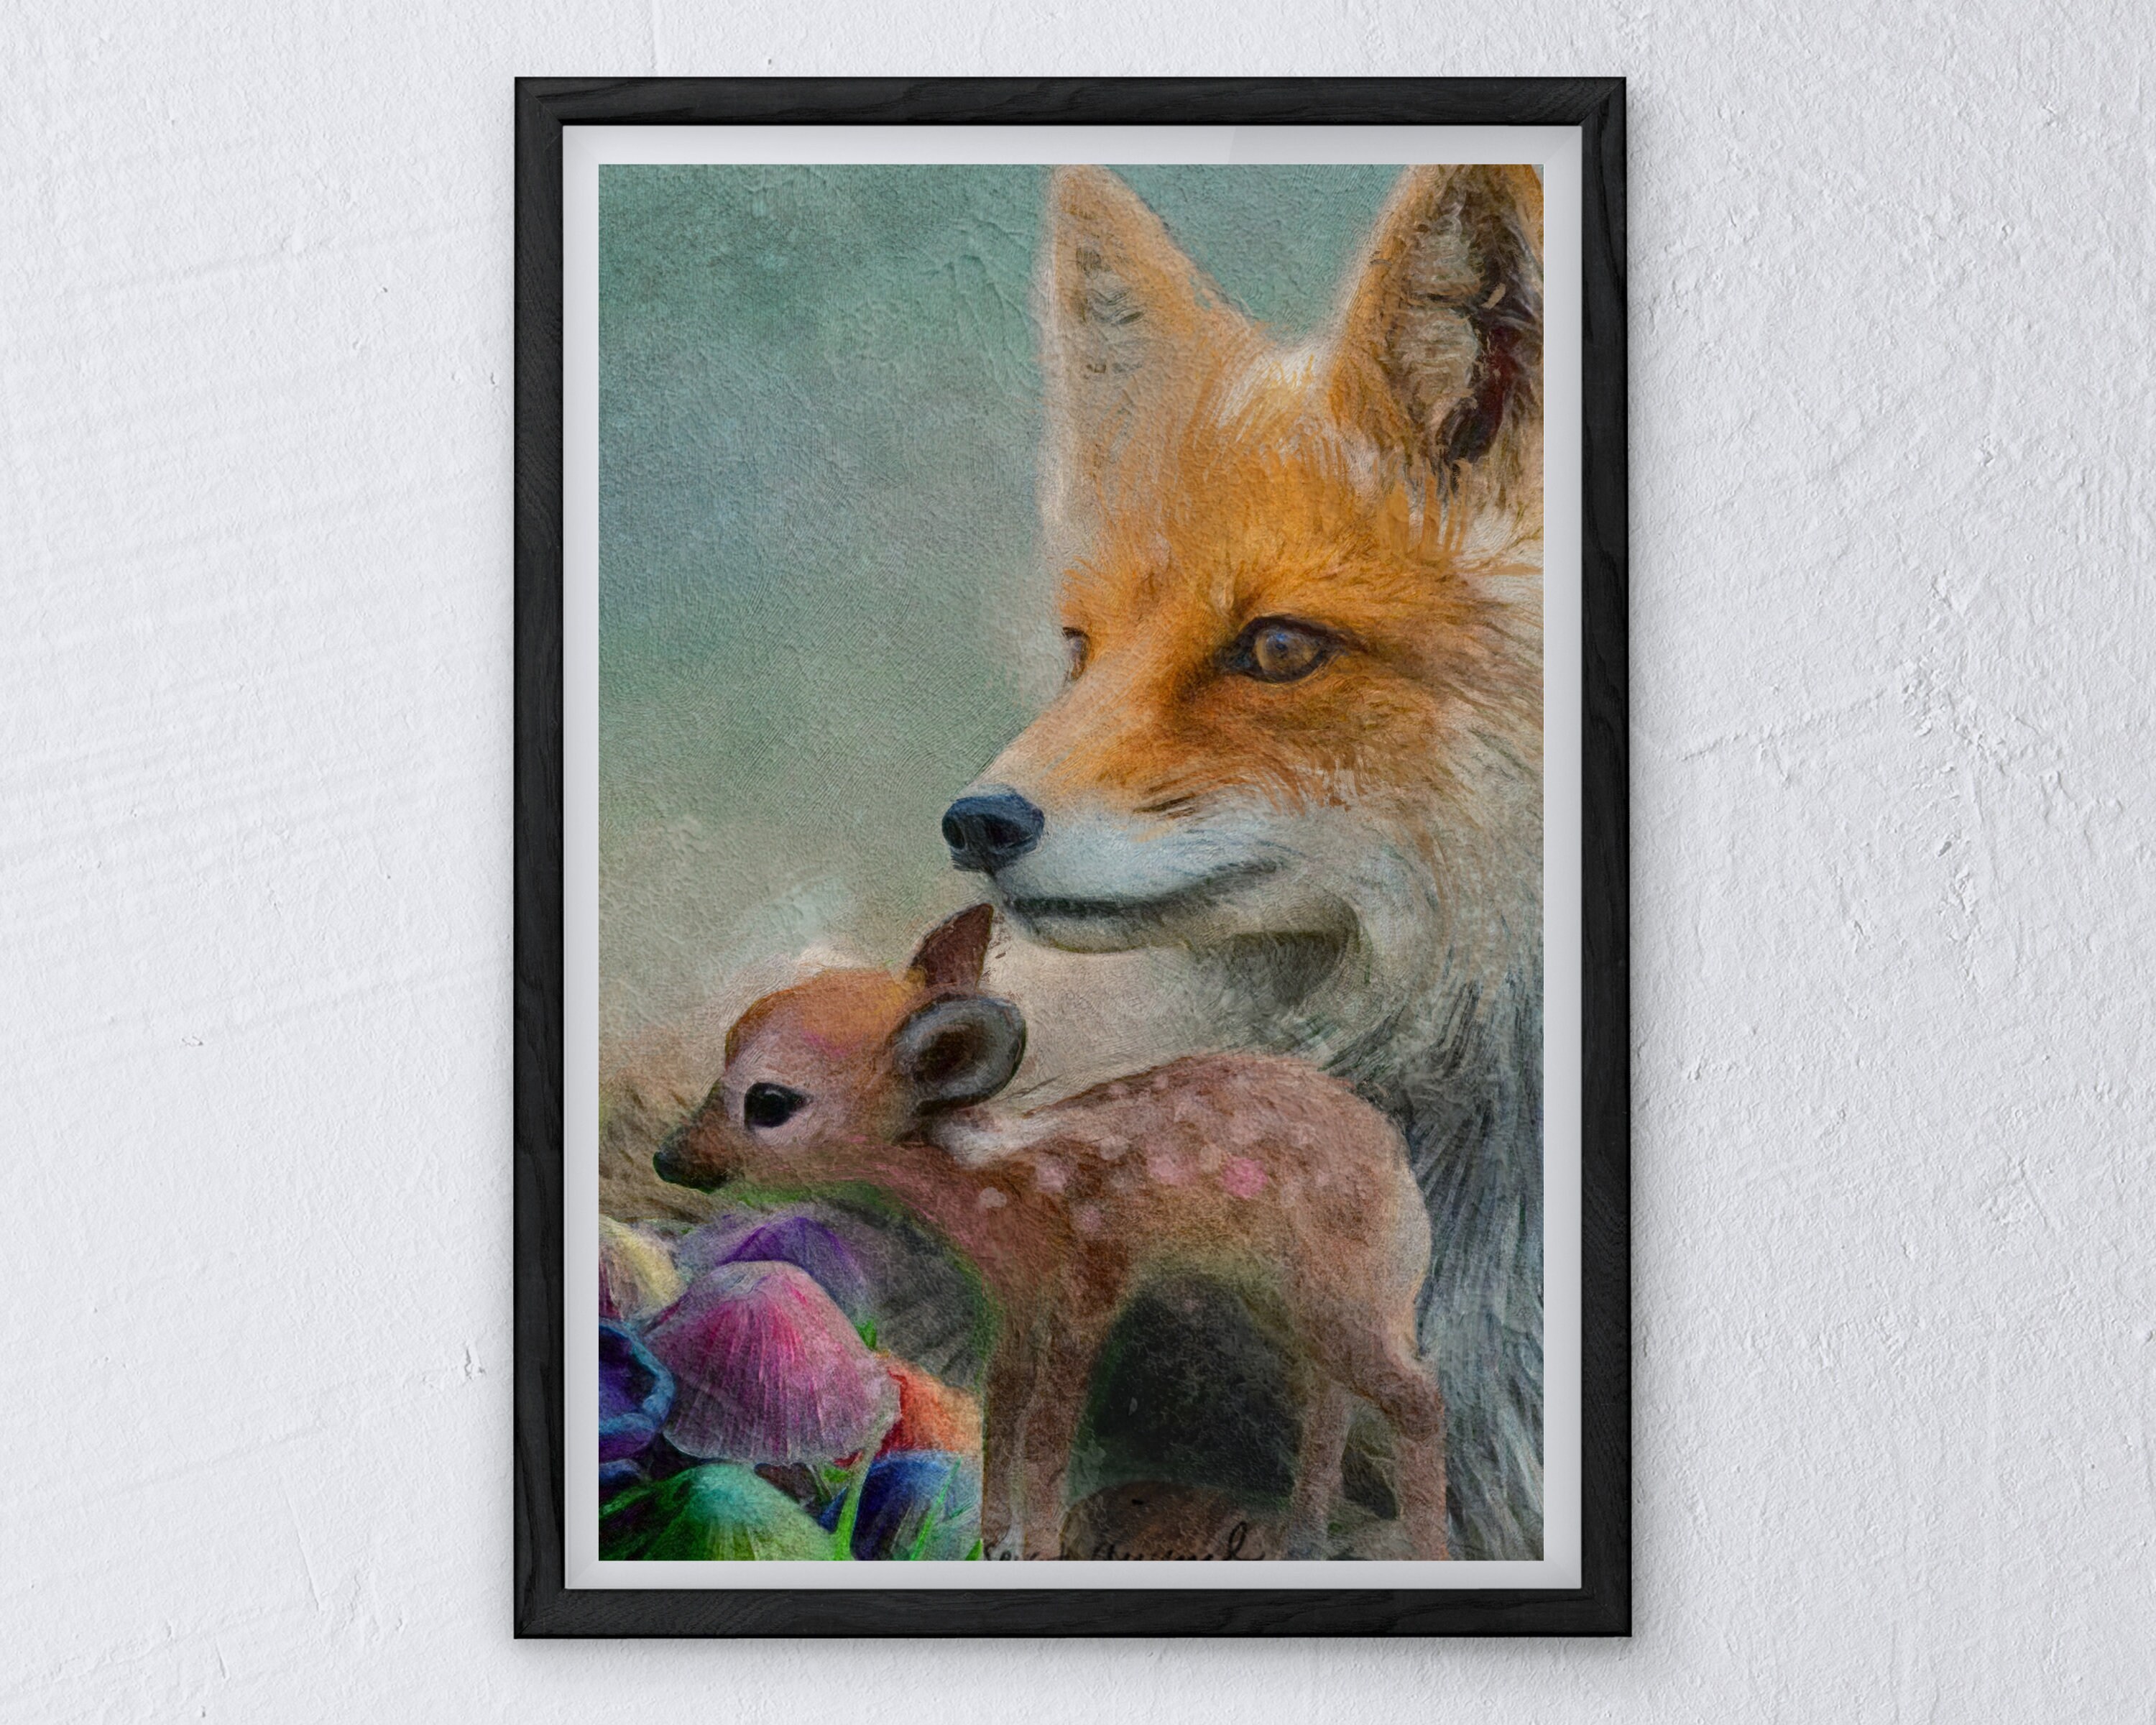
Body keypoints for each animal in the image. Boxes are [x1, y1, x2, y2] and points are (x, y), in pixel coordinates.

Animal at [653, 905, 1449, 1561]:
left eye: (770, 1101)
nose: (671, 1158)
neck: (1002, 1187)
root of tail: (1402, 1175)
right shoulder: (1013, 1301)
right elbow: (1003, 1411)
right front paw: (991, 1542)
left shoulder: (1090, 1283)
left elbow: (1046, 1433)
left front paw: (1035, 1549)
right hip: (1288, 1299)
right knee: (1330, 1393)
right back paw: (1308, 1536)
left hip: (1341, 1287)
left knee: (1418, 1397)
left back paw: (1424, 1551)